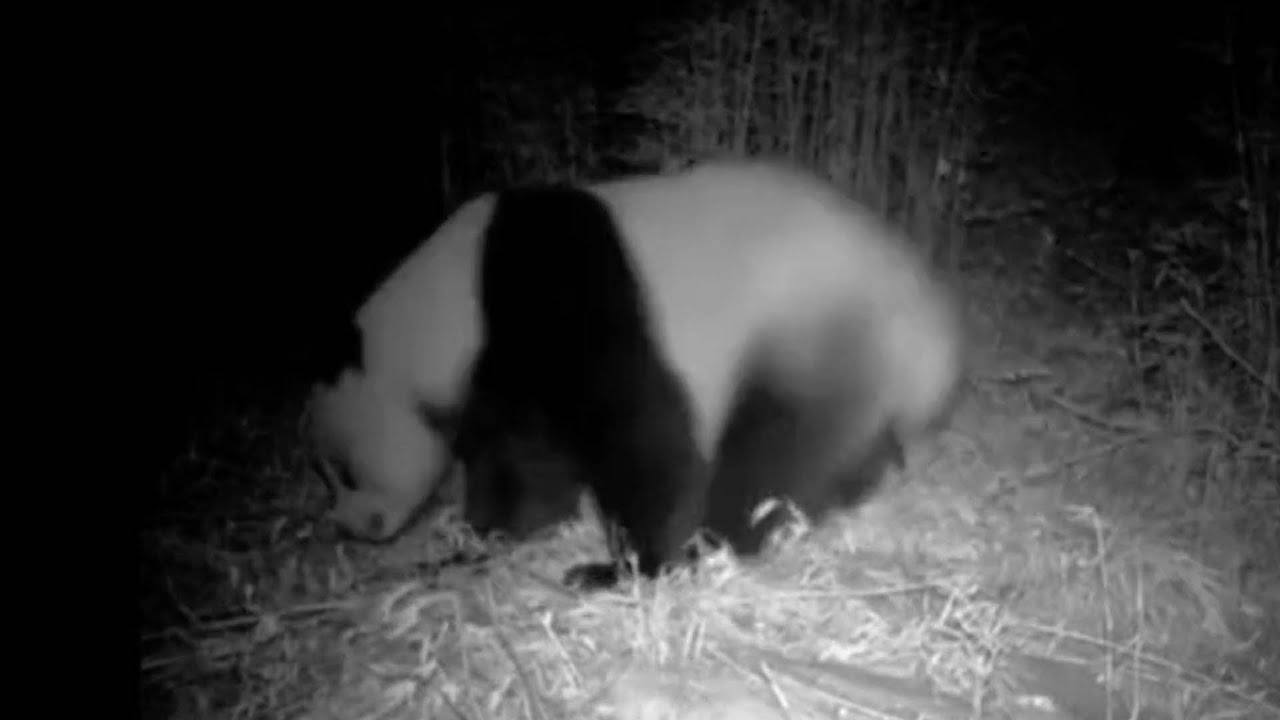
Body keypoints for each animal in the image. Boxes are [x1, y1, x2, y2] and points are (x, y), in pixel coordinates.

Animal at [306, 158, 967, 589]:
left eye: (343, 470)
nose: (350, 526)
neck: (456, 306)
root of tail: (935, 339)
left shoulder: (570, 303)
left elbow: (641, 442)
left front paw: (625, 567)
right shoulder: (502, 370)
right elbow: (522, 464)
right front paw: (474, 543)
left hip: (816, 335)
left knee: (775, 454)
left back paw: (724, 539)